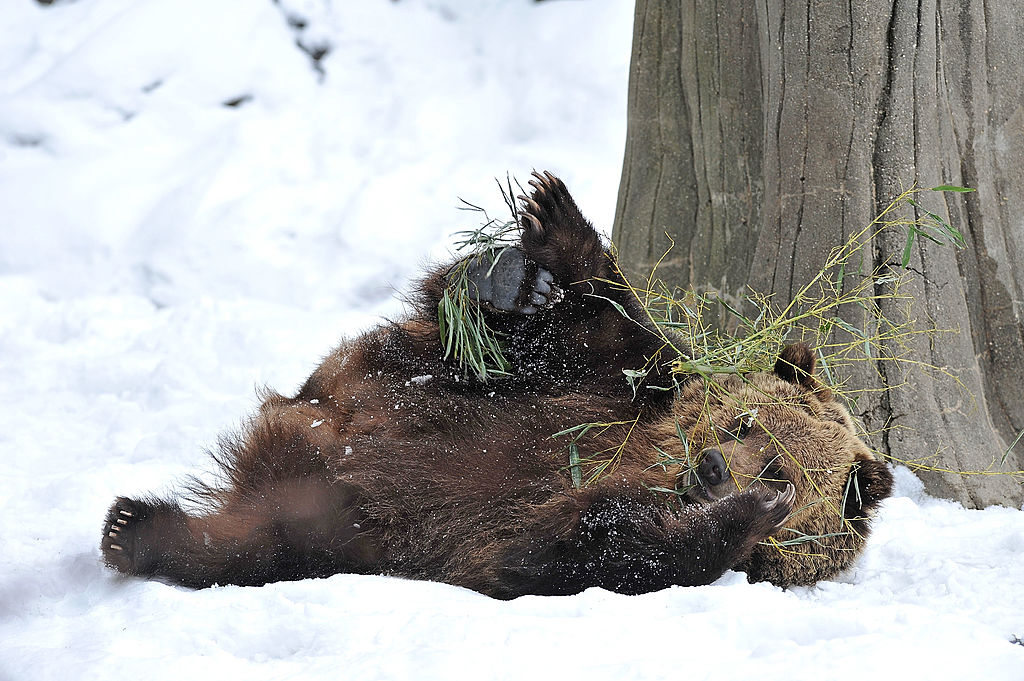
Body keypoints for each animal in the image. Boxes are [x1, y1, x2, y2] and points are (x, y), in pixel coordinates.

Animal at [101, 171, 893, 597]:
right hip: (398, 382)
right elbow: (614, 337)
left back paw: (134, 528)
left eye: (783, 465)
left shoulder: (524, 532)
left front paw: (749, 510)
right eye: (741, 424)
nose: (718, 468)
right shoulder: (626, 393)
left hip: (342, 529)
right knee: (490, 335)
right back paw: (519, 270)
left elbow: (585, 552)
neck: (661, 463)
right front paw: (552, 224)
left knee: (253, 545)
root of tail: (300, 429)